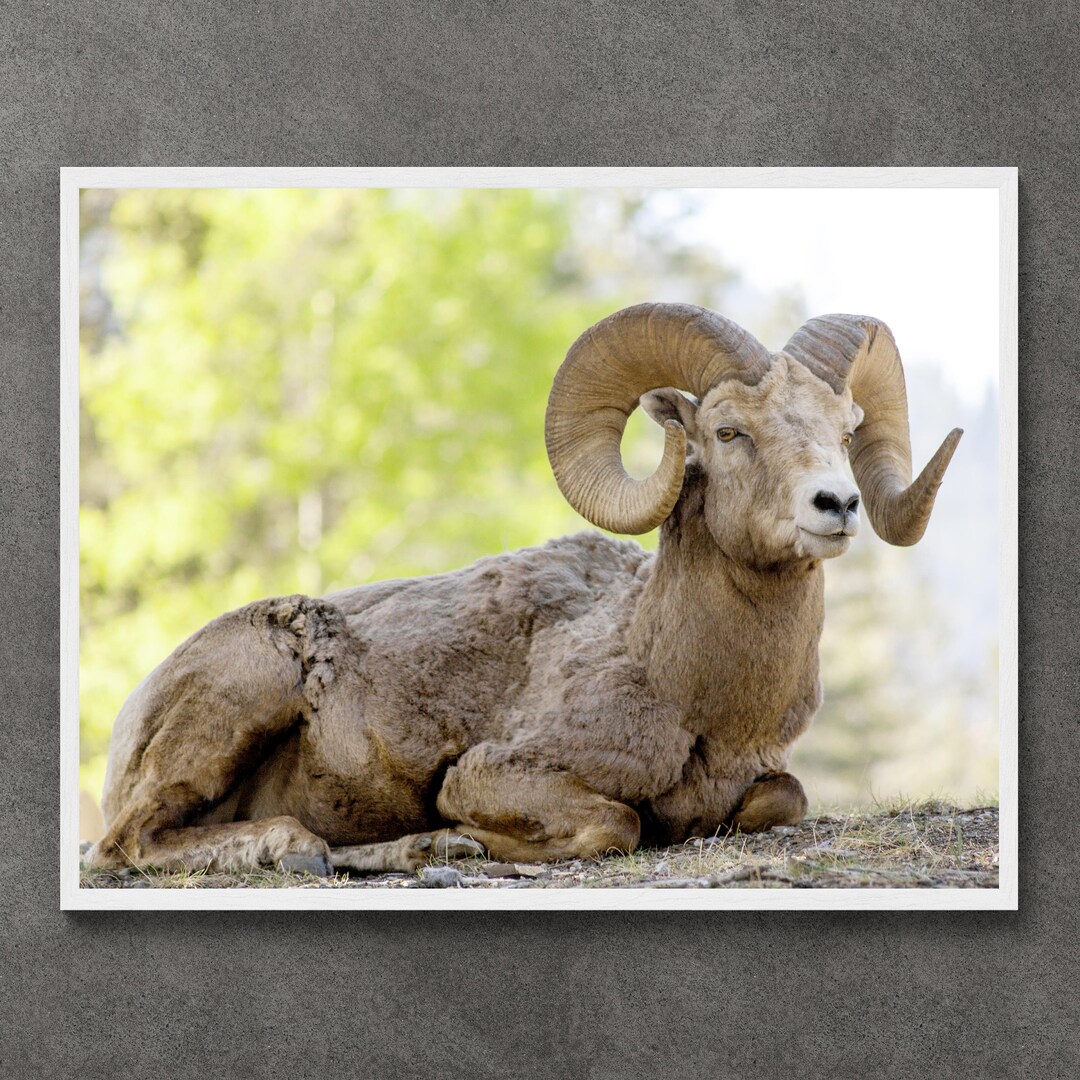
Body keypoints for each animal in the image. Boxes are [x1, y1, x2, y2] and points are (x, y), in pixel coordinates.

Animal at [87, 302, 962, 877]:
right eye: (729, 431)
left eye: (845, 431)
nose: (836, 505)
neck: (684, 688)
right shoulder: (497, 773)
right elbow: (615, 824)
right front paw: (476, 837)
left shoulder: (766, 780)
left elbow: (783, 798)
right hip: (240, 696)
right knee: (127, 845)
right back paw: (339, 847)